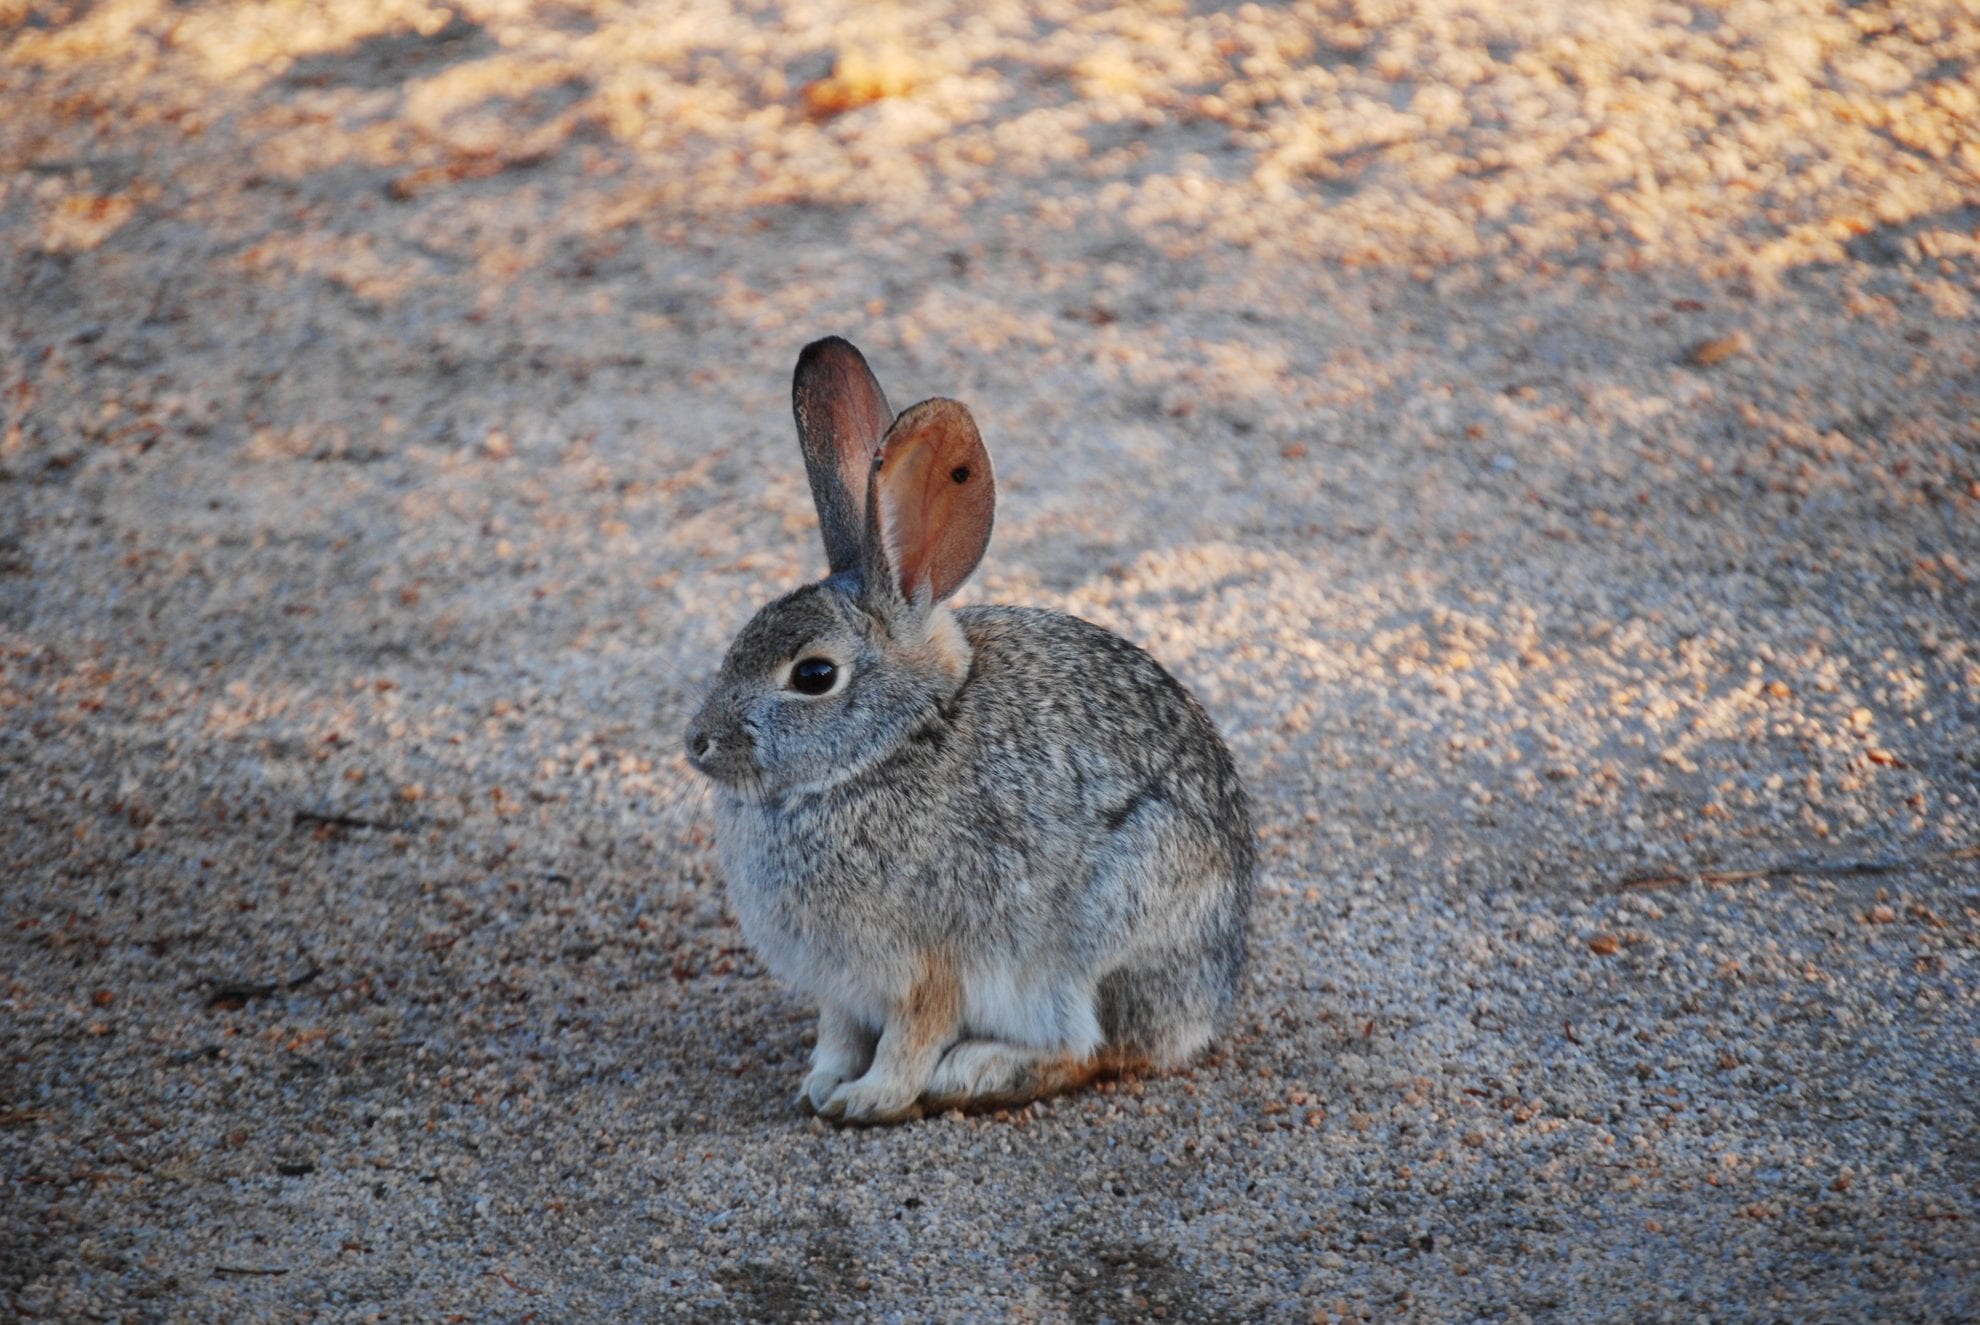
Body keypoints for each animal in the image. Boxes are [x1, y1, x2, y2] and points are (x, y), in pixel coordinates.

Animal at [684, 337, 1254, 1124]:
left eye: (814, 675)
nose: (698, 741)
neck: (892, 744)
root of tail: (1210, 1002)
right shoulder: (842, 988)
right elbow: (836, 1035)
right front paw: (822, 1088)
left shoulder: (931, 966)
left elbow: (911, 1038)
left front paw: (869, 1100)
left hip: (1097, 938)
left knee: (1088, 1051)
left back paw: (972, 1074)